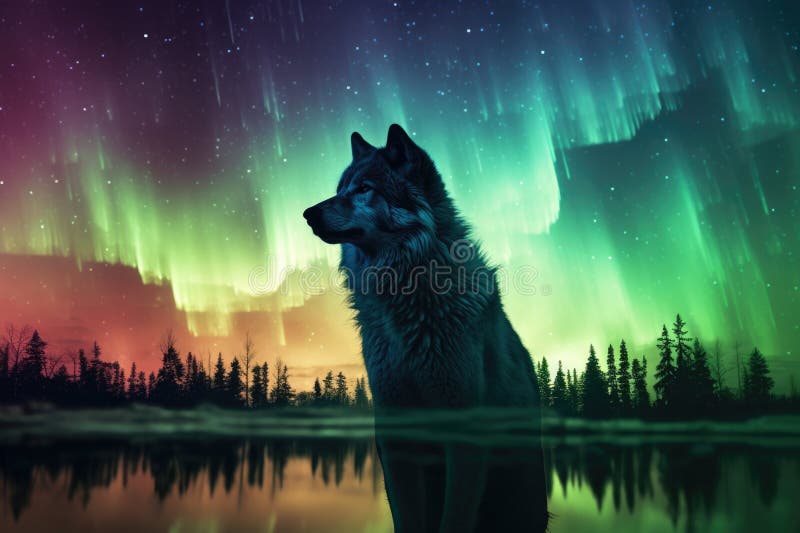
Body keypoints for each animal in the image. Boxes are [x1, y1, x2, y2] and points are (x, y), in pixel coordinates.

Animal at [304, 124, 548, 532]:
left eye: (364, 188)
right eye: (339, 189)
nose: (307, 213)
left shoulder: (462, 430)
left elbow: (455, 518)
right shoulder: (395, 432)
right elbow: (408, 516)